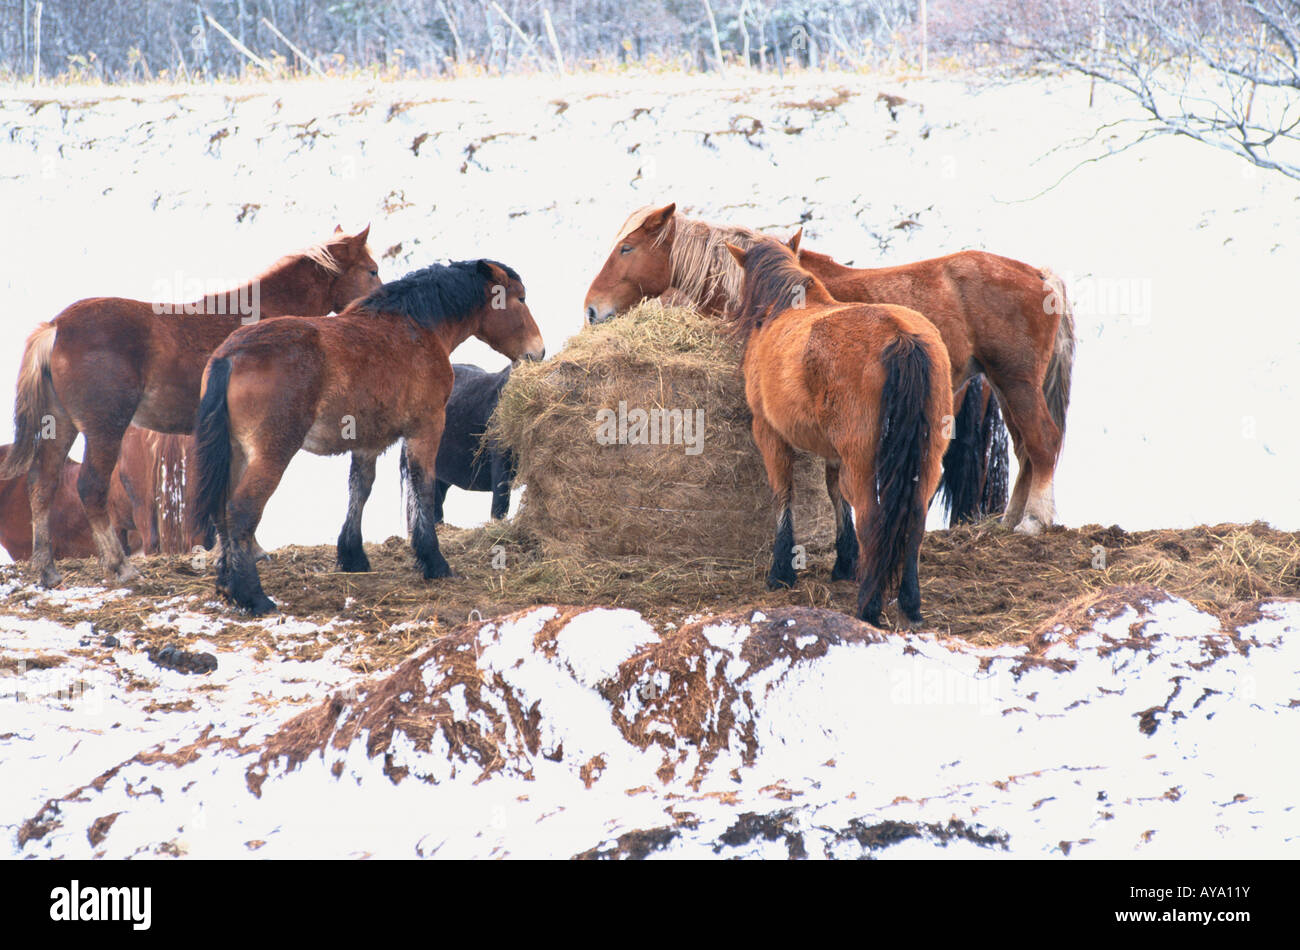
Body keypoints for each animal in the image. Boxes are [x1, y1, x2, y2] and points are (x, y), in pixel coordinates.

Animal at [0, 225, 381, 590]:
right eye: (372, 270)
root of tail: (56, 328)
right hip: (104, 429)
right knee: (91, 488)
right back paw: (121, 568)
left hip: (60, 424)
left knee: (42, 485)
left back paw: (48, 572)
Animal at [582, 203, 1074, 535]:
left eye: (626, 248)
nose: (591, 309)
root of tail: (1040, 276)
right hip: (1005, 385)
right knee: (1028, 450)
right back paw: (1010, 521)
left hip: (1016, 381)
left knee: (1043, 442)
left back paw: (1034, 522)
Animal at [725, 236, 952, 629]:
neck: (782, 310)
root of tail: (900, 335)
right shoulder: (834, 452)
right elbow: (835, 495)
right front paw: (845, 562)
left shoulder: (768, 432)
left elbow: (784, 493)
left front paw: (781, 572)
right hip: (925, 456)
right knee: (915, 519)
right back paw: (910, 605)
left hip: (862, 458)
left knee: (873, 517)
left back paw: (868, 608)